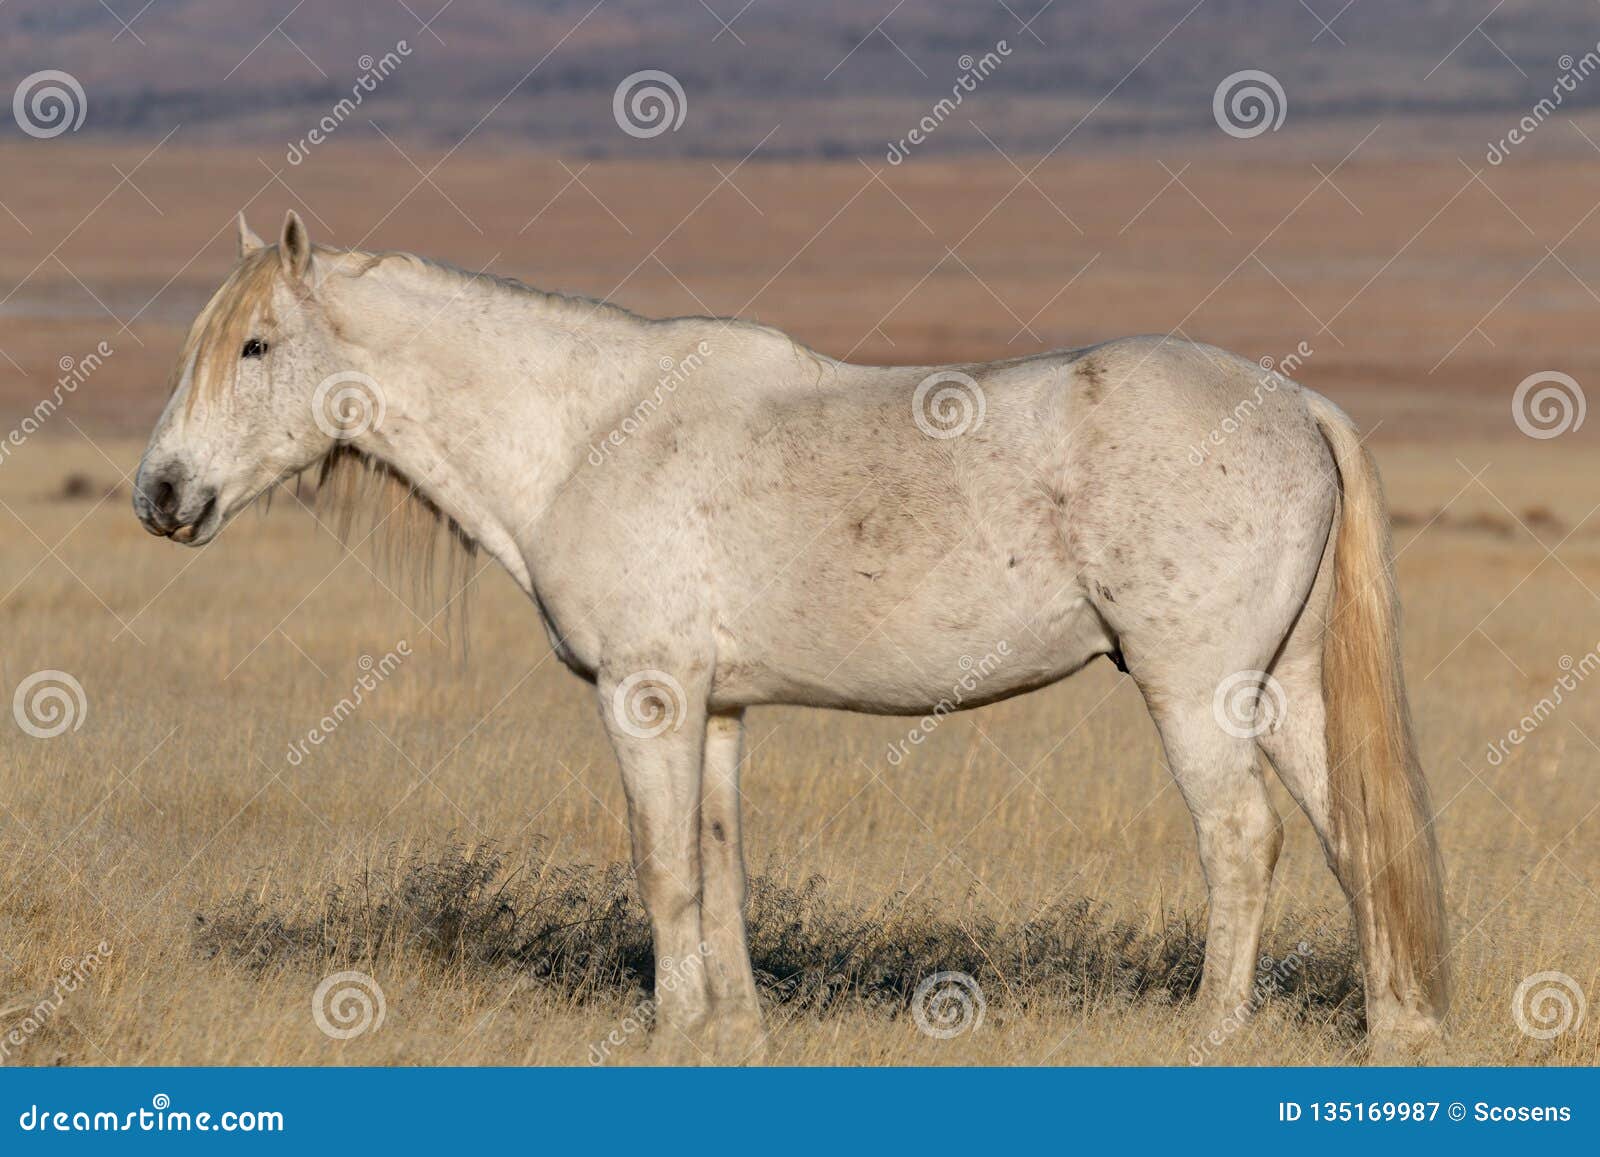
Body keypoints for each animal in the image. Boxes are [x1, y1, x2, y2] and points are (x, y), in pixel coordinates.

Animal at [133, 211, 1448, 1061]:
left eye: (254, 345)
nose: (160, 492)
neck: (588, 432)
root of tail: (1294, 401)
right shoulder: (716, 708)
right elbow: (721, 867)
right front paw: (735, 1030)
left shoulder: (648, 694)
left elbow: (663, 866)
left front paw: (669, 1031)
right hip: (1283, 688)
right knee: (1352, 837)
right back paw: (1397, 1028)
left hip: (1195, 690)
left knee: (1242, 840)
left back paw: (1211, 1031)